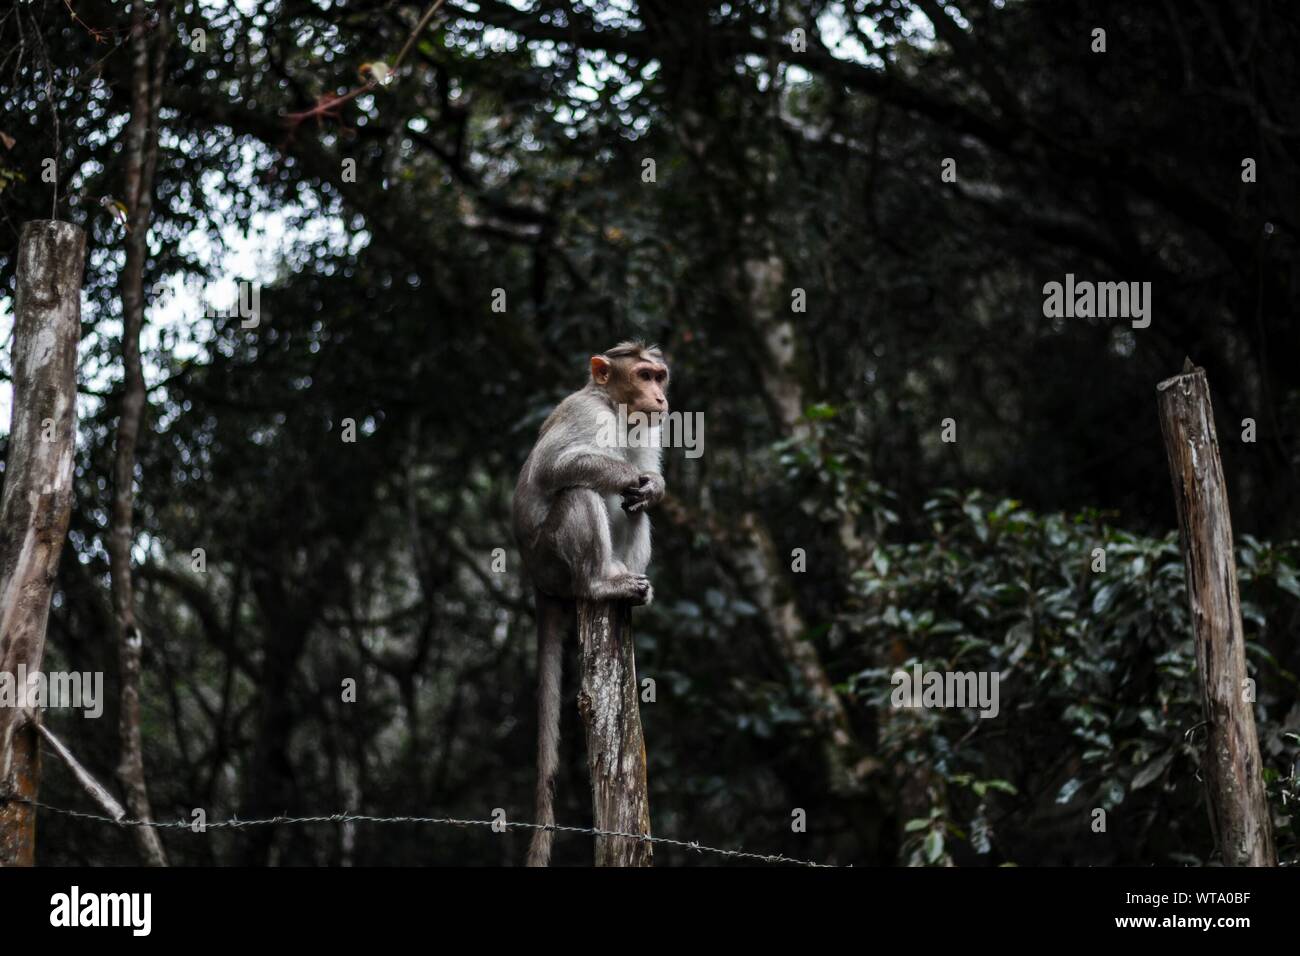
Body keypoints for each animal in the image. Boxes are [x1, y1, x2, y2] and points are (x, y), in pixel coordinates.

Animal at [512, 341, 669, 867]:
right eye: (643, 374)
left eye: (660, 376)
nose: (661, 399)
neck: (614, 407)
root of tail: (537, 579)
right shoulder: (587, 416)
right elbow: (556, 467)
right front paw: (629, 475)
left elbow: (646, 490)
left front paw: (655, 487)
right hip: (553, 559)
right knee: (581, 490)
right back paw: (600, 584)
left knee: (633, 510)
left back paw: (630, 585)